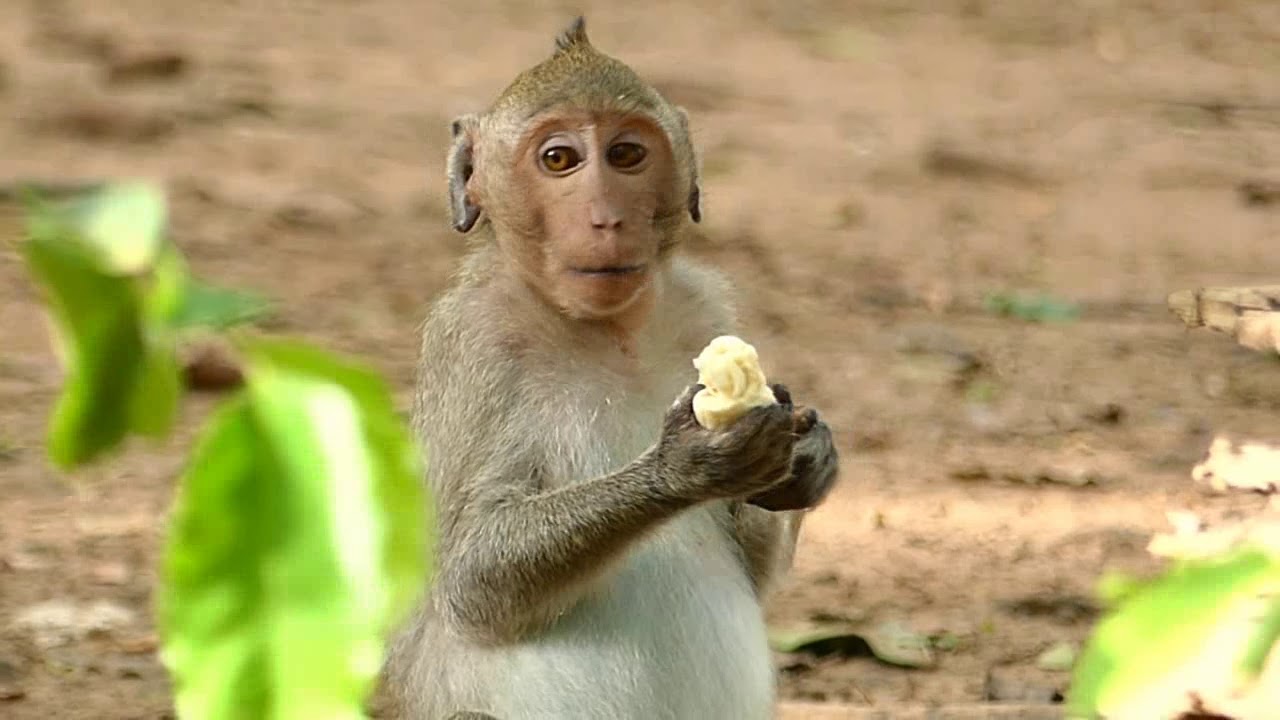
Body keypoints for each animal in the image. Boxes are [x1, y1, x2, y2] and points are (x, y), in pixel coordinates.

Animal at [381, 16, 840, 720]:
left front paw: (810, 456)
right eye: (558, 160)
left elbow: (755, 568)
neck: (606, 330)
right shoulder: (473, 345)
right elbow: (469, 584)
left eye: (626, 155)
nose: (606, 218)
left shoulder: (704, 307)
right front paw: (683, 468)